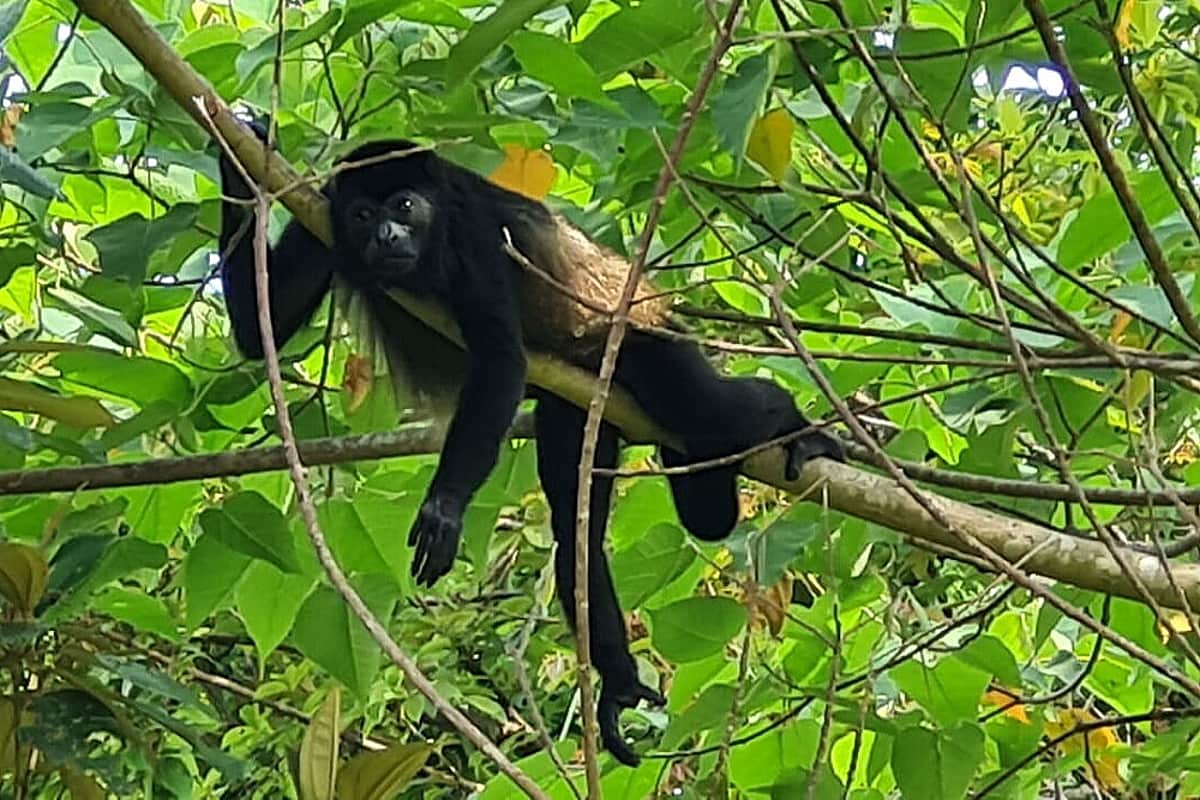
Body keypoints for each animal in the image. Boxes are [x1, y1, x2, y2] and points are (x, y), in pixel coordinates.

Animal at [218, 126, 843, 765]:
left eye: (405, 206)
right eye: (363, 215)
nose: (386, 235)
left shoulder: (473, 231)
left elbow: (500, 359)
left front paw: (445, 508)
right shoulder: (318, 216)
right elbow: (255, 328)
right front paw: (240, 153)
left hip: (646, 345)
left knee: (707, 408)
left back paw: (802, 429)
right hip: (578, 414)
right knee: (575, 528)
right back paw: (617, 681)